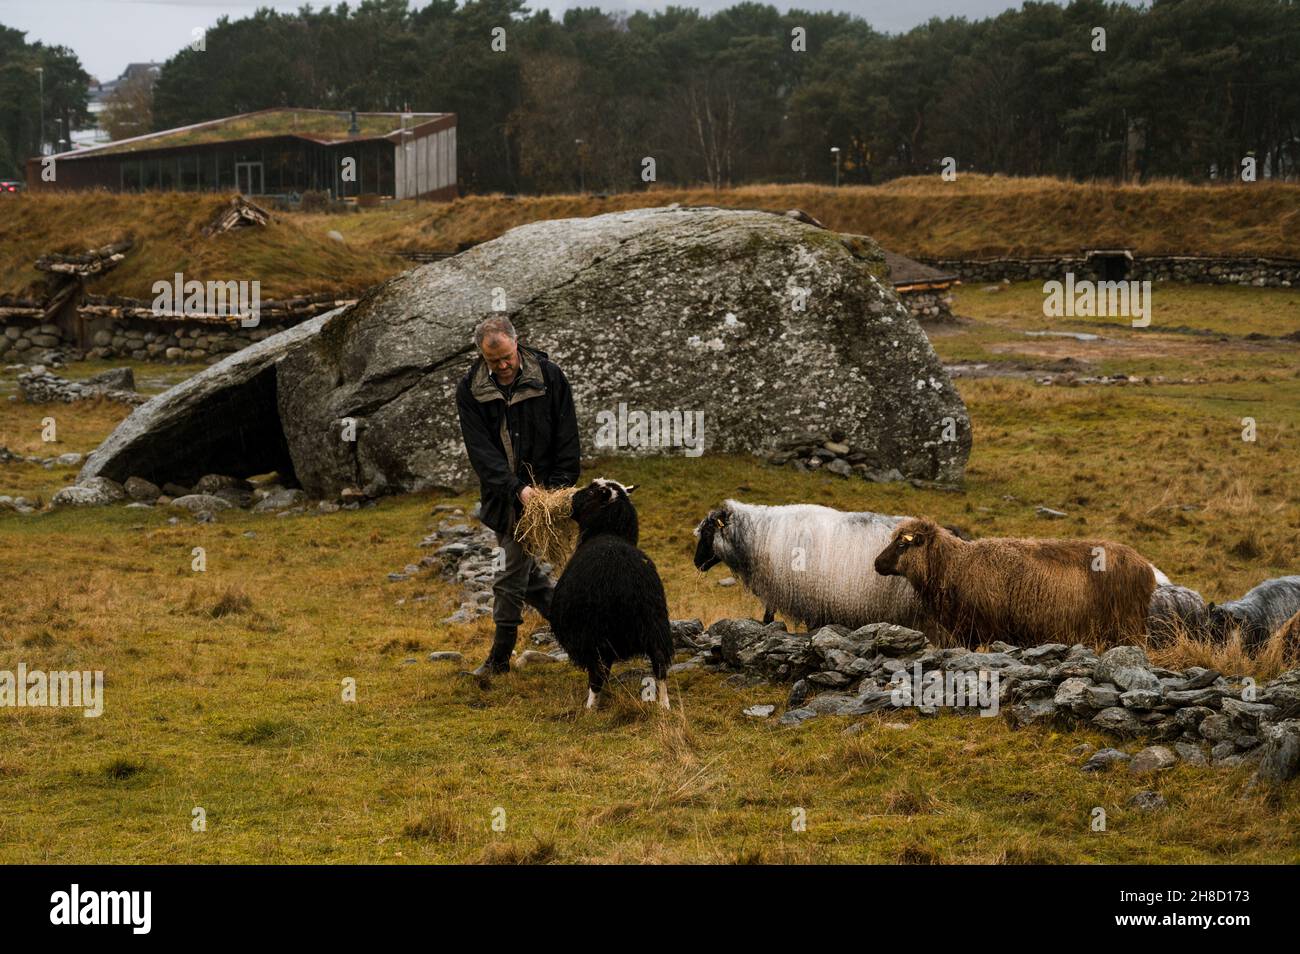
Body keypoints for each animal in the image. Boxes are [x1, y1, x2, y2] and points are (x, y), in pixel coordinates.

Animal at [549, 478, 673, 709]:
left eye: (591, 492)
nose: (569, 498)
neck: (608, 532)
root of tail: (627, 583)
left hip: (595, 633)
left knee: (597, 673)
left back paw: (590, 707)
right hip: (655, 625)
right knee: (660, 664)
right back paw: (664, 705)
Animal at [872, 518, 1157, 648]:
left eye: (901, 545)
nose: (876, 563)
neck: (955, 566)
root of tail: (1146, 567)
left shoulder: (986, 629)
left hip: (1128, 624)